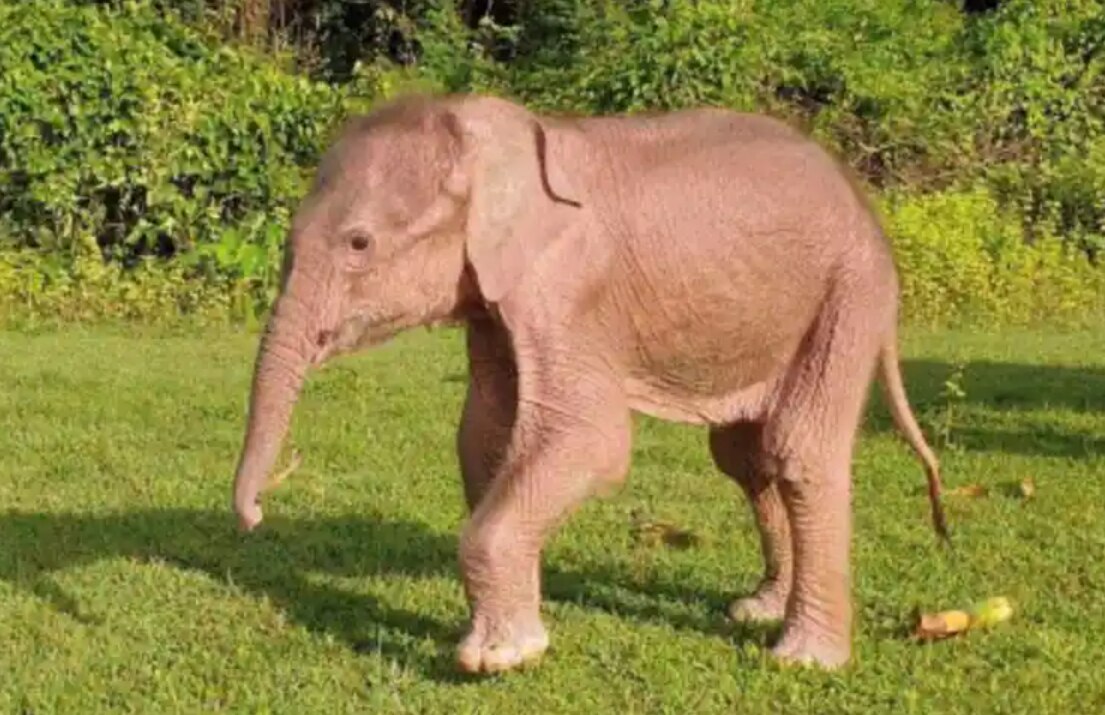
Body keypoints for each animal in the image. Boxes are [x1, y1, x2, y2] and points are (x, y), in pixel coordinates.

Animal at [230, 92, 948, 674]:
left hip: (849, 292)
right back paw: (756, 609)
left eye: (358, 244)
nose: (256, 515)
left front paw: (498, 657)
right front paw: (508, 628)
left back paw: (804, 658)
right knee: (745, 456)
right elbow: (485, 434)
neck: (495, 134)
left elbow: (587, 439)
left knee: (798, 450)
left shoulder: (571, 287)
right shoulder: (497, 298)